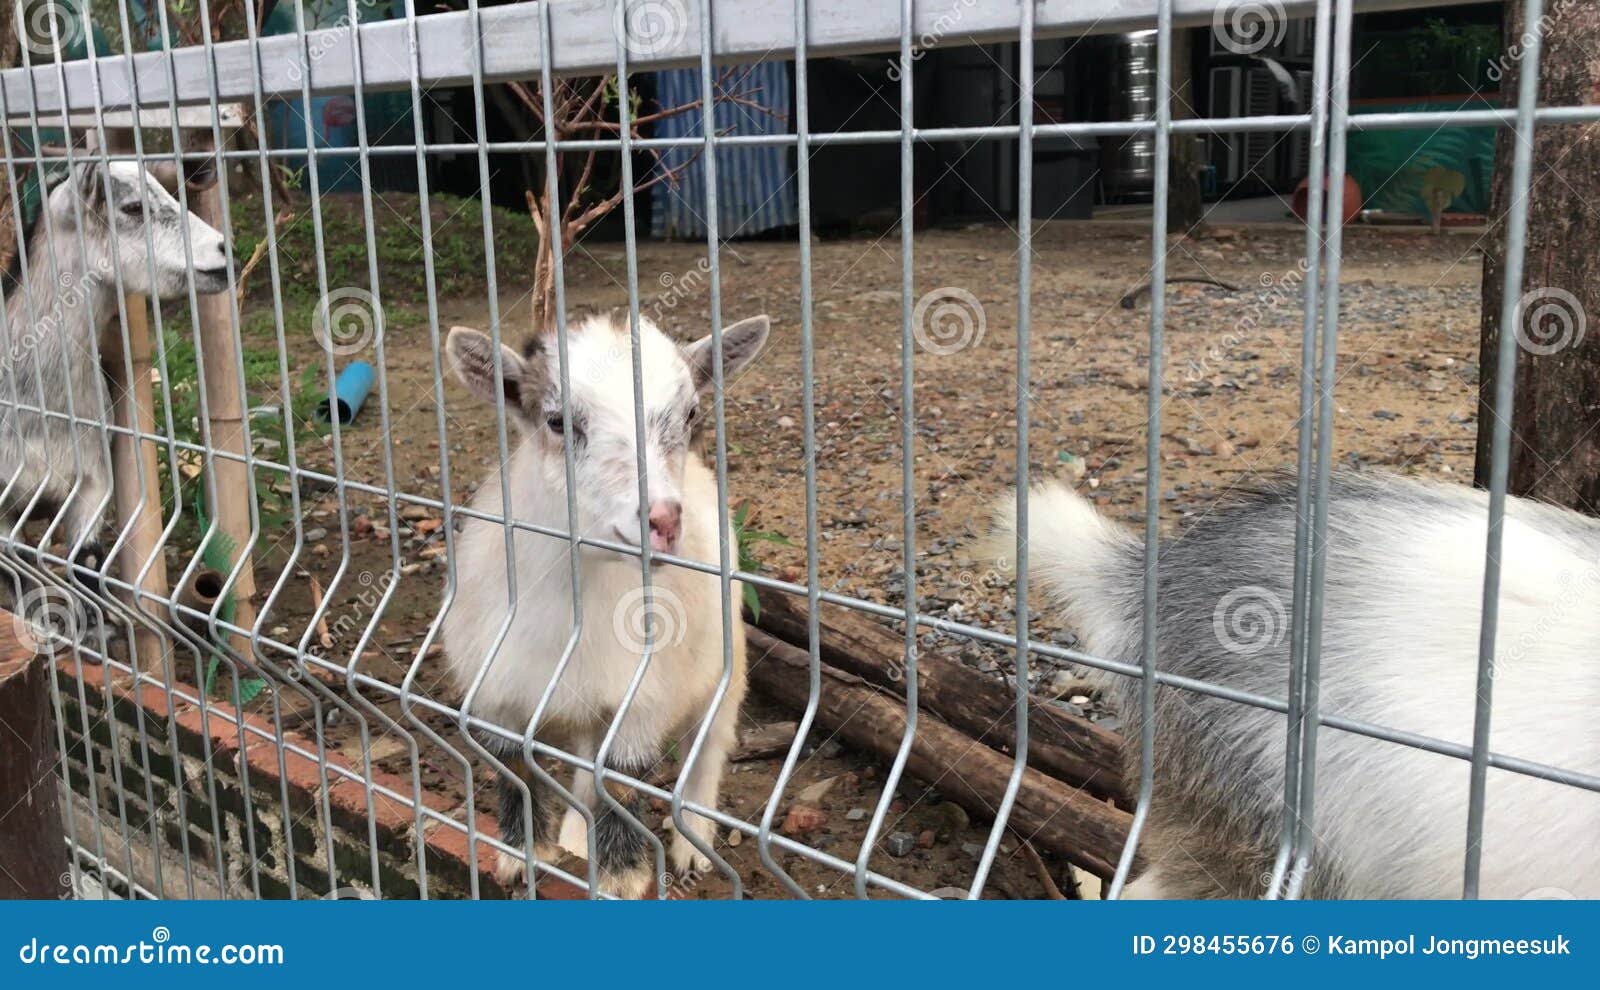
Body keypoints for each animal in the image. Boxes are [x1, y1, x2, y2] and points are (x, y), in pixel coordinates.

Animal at [442, 310, 769, 898]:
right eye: (555, 421)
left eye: (690, 414)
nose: (663, 521)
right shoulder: (494, 684)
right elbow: (512, 765)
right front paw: (520, 856)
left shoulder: (646, 694)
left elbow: (621, 772)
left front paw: (622, 877)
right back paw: (576, 830)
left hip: (724, 667)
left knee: (708, 746)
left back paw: (693, 843)